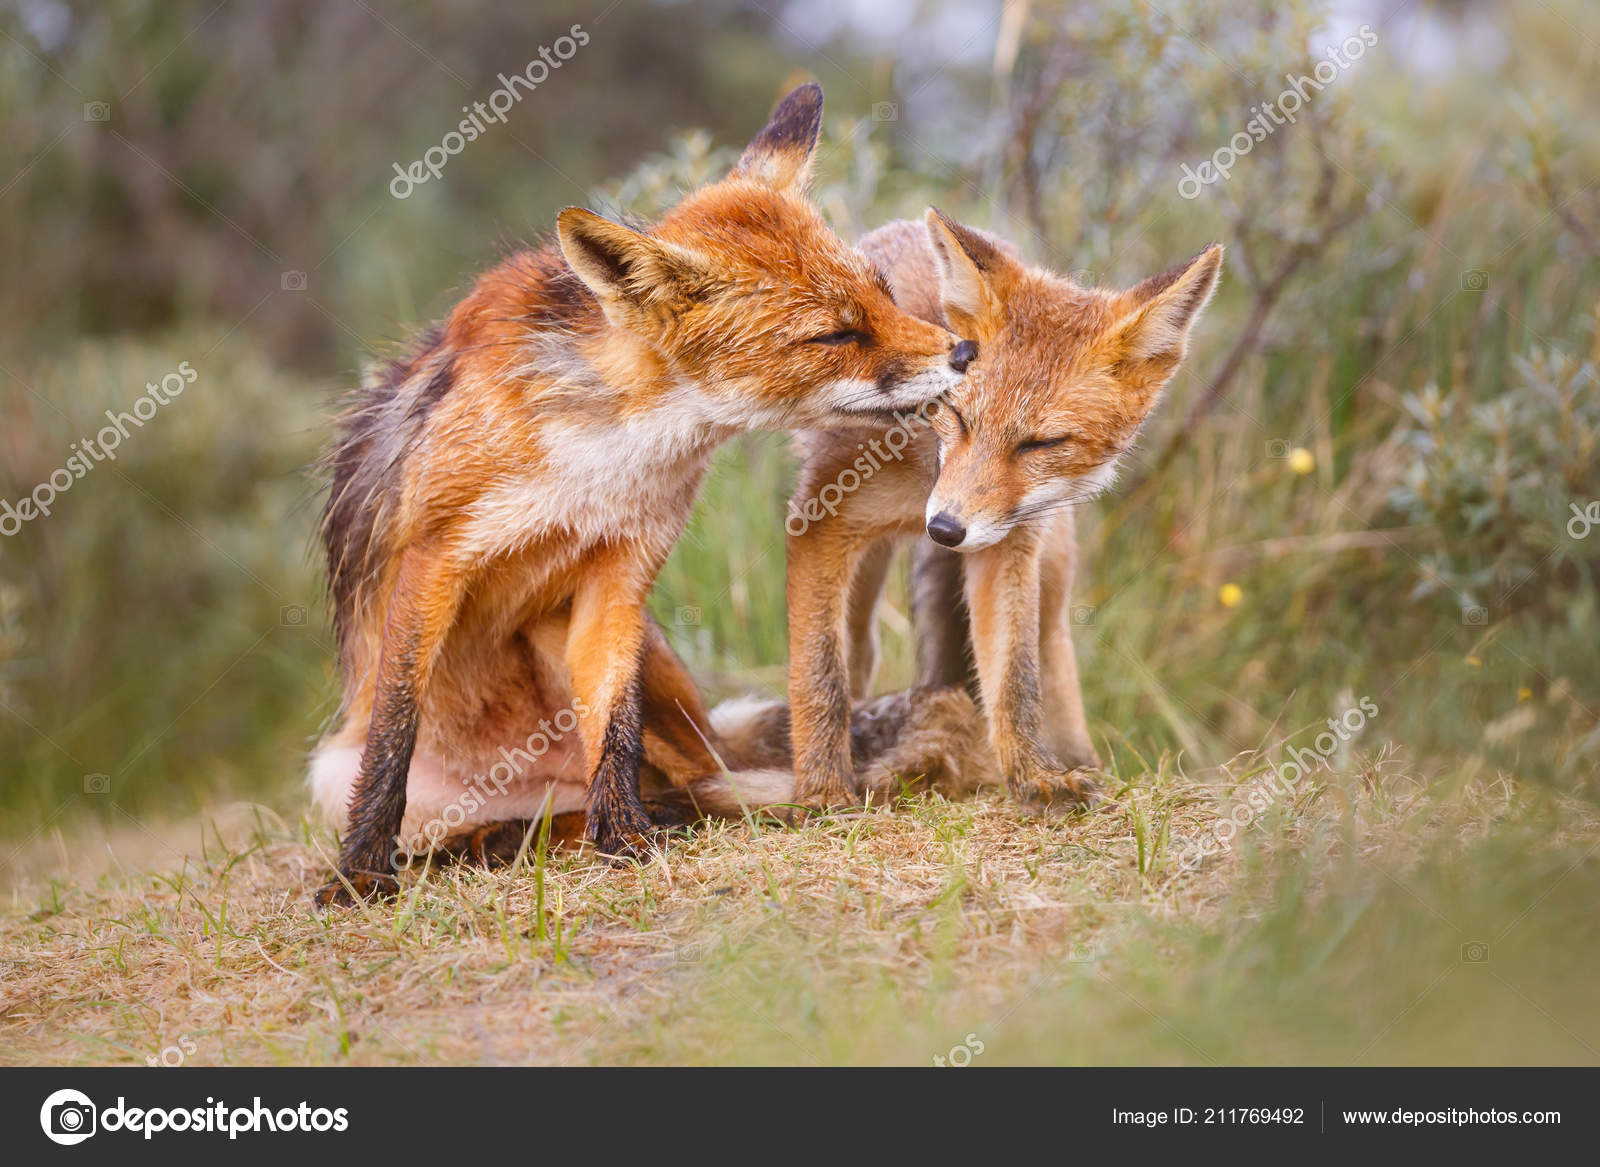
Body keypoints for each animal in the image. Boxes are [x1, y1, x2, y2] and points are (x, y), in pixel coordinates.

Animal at [308, 85, 975, 905]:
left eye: (882, 294)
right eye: (834, 335)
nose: (965, 352)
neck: (602, 458)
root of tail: (520, 787)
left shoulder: (619, 575)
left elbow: (615, 732)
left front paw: (624, 835)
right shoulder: (435, 560)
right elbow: (393, 733)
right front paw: (361, 869)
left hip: (618, 677)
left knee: (700, 782)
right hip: (336, 766)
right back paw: (488, 839)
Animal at [784, 210, 1222, 815]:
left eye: (1041, 444)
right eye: (959, 418)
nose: (944, 530)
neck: (922, 472)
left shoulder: (1003, 544)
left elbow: (1015, 676)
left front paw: (1035, 774)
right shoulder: (820, 520)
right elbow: (821, 675)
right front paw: (824, 789)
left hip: (1050, 560)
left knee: (1051, 649)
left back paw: (1078, 758)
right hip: (867, 576)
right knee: (857, 654)